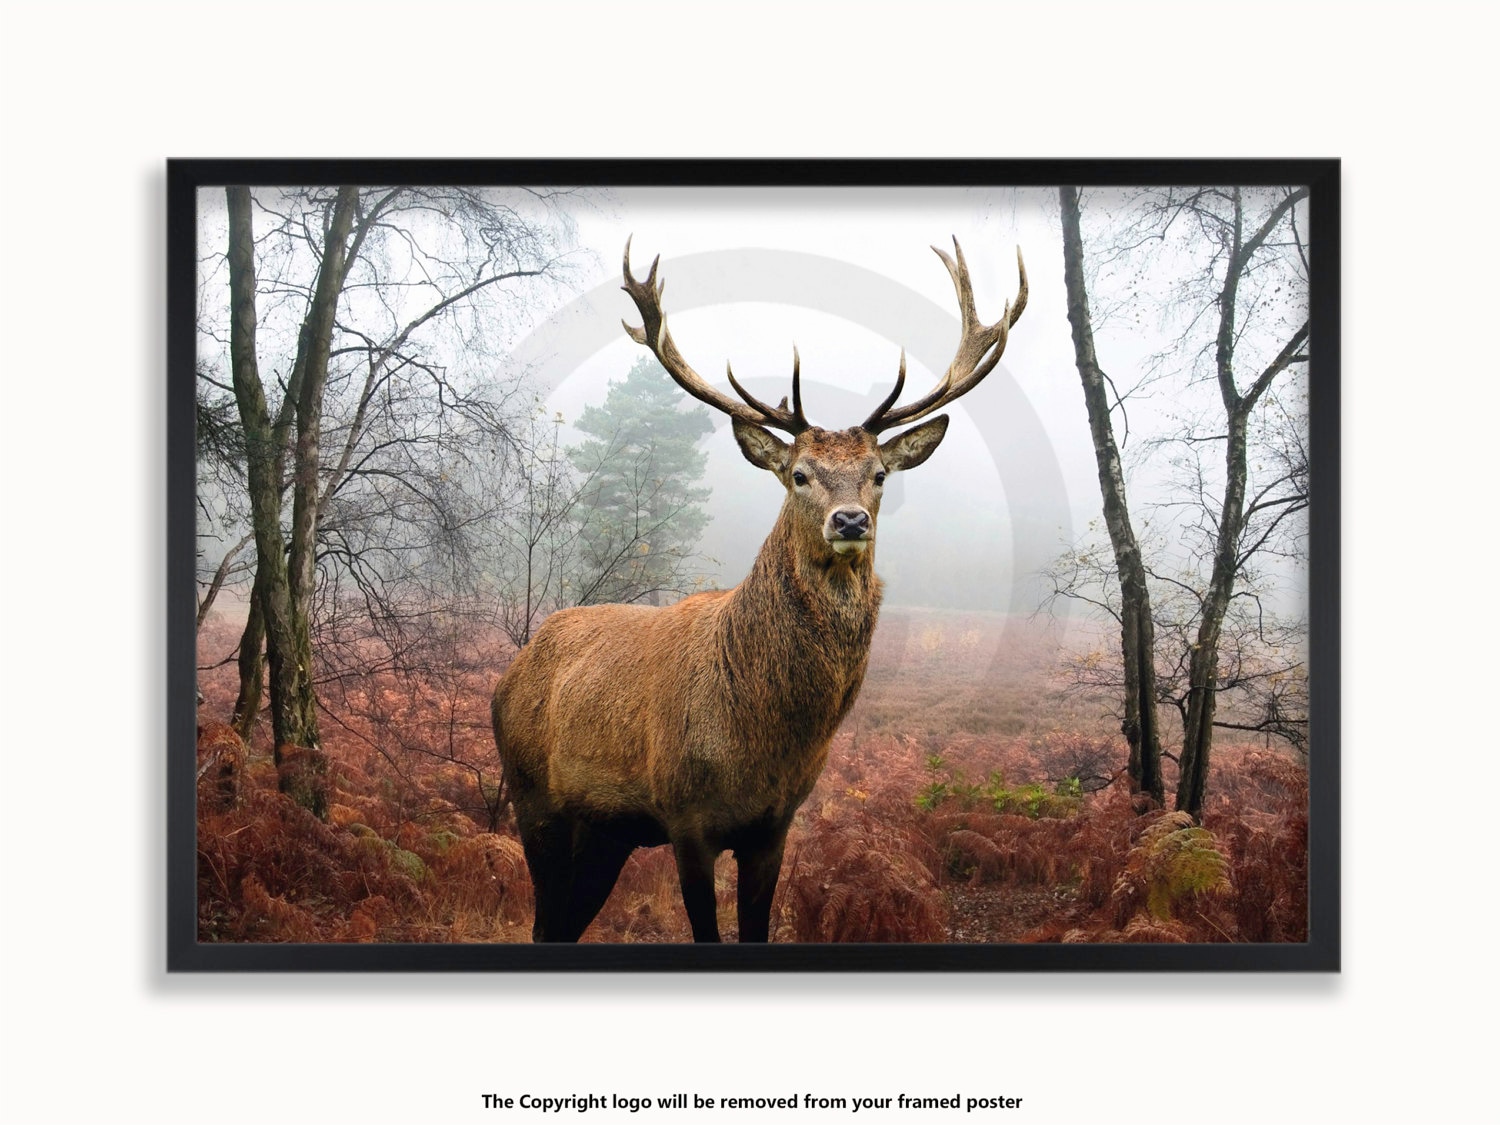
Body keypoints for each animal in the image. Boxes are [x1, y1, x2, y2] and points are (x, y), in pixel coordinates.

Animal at [491, 237, 1027, 942]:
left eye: (879, 474)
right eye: (799, 474)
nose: (849, 520)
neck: (760, 739)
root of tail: (509, 674)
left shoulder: (774, 825)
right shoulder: (685, 818)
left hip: (606, 832)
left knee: (564, 923)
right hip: (534, 800)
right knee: (544, 917)